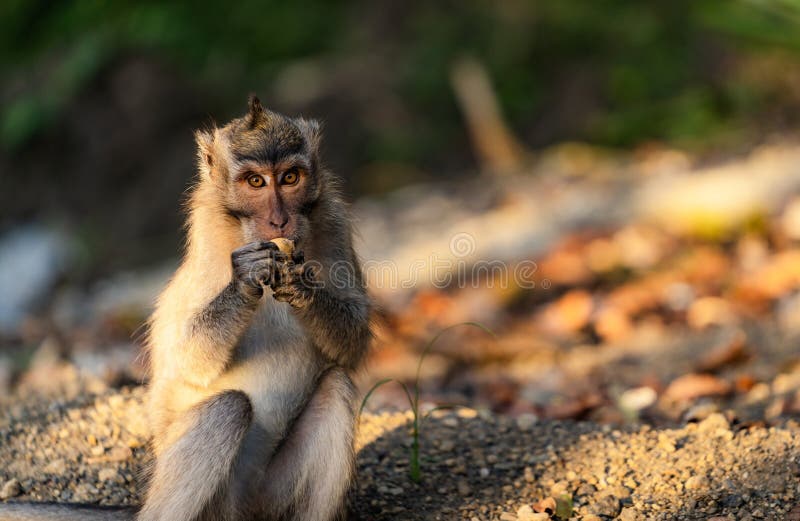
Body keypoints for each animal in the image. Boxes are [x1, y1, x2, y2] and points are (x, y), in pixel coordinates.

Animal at [0, 96, 371, 521]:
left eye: (290, 177)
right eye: (255, 182)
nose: (279, 220)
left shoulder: (334, 222)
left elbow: (354, 343)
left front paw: (301, 285)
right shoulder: (207, 240)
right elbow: (190, 360)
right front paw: (245, 280)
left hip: (270, 495)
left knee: (335, 386)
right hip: (211, 499)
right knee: (227, 408)